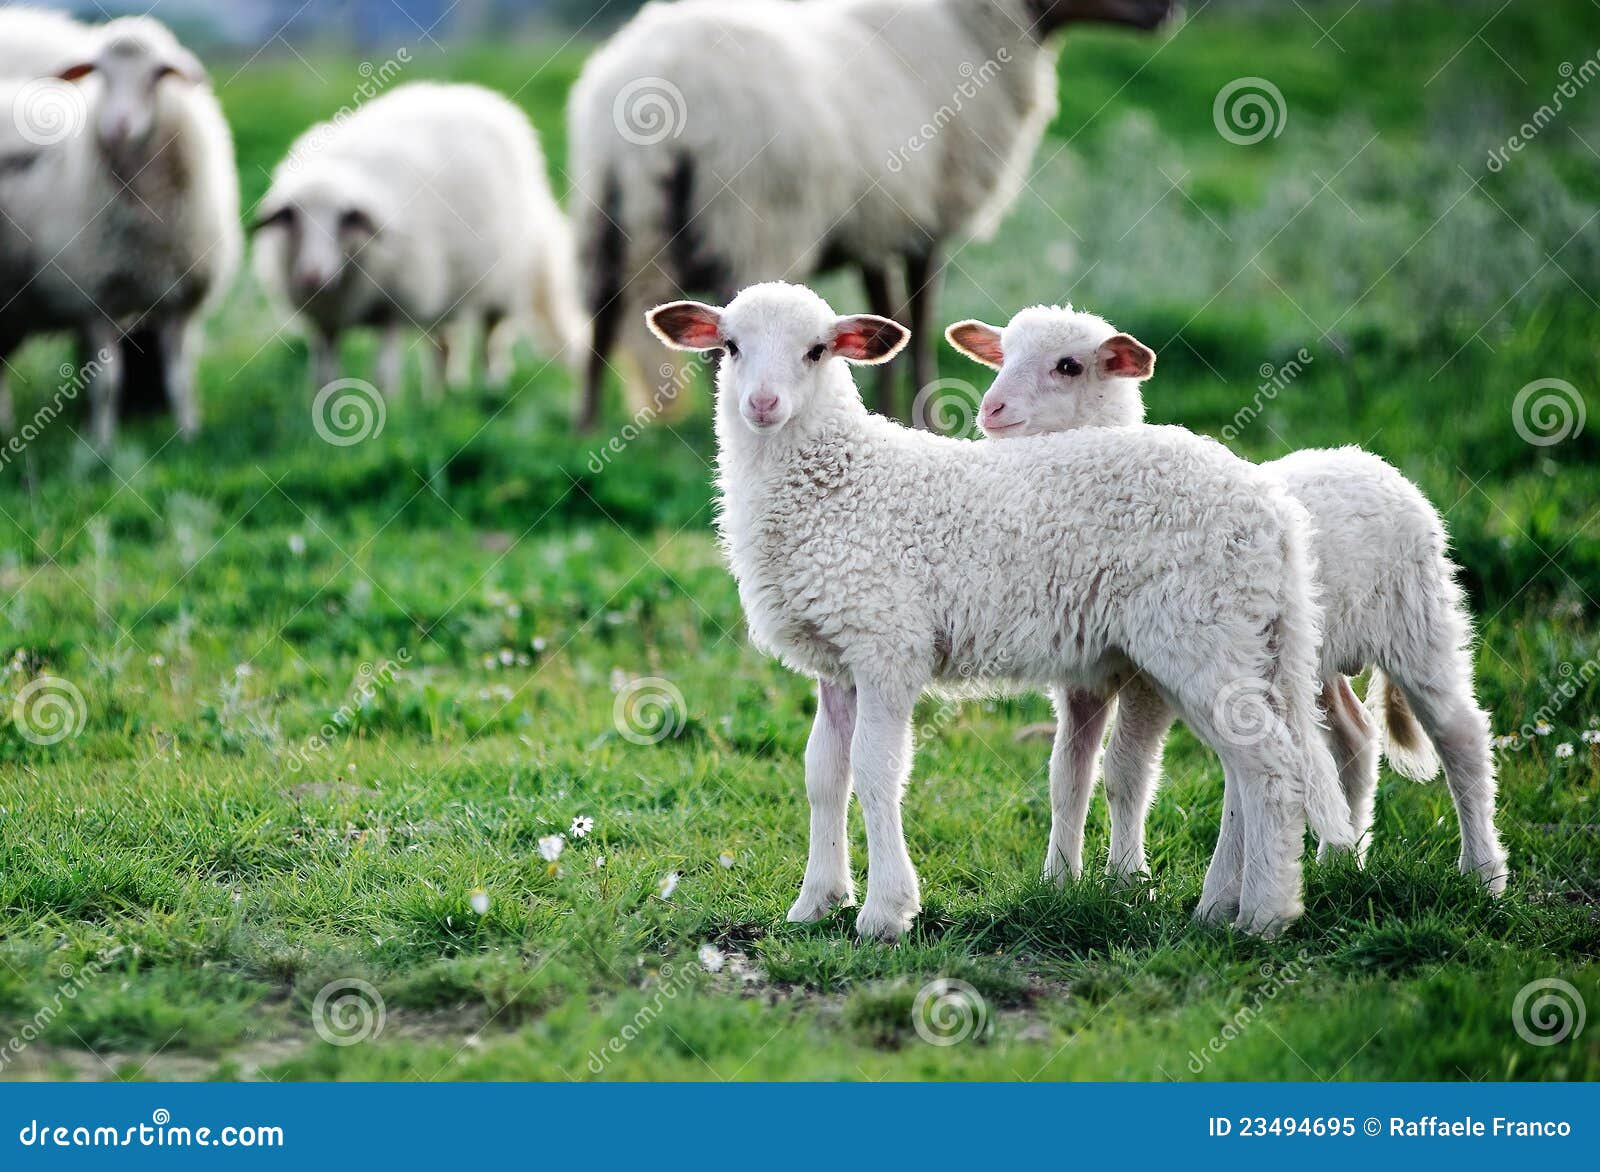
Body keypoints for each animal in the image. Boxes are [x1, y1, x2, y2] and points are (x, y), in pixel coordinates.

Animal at [1, 14, 240, 448]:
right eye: (101, 74)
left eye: (158, 74)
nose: (117, 126)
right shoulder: (95, 302)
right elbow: (107, 384)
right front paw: (102, 444)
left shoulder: (178, 301)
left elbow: (179, 379)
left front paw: (188, 434)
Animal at [252, 82, 585, 401]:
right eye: (292, 218)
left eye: (347, 218)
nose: (312, 275)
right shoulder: (325, 322)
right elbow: (325, 377)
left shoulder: (393, 304)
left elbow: (384, 372)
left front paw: (388, 407)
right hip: (448, 288)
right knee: (445, 346)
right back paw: (439, 397)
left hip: (503, 283)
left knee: (490, 343)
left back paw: (492, 388)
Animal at [568, 0, 1174, 432]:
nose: (1165, 11)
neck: (970, 30)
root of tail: (661, 76)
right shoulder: (922, 218)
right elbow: (921, 317)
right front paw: (927, 417)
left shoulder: (877, 221)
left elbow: (884, 313)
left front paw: (891, 410)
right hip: (754, 217)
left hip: (603, 210)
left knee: (603, 315)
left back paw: (586, 429)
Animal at [646, 281, 1354, 940]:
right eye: (729, 347)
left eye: (816, 351)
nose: (762, 404)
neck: (837, 483)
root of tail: (1274, 512)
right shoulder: (836, 656)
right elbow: (825, 773)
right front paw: (815, 902)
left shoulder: (888, 646)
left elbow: (876, 771)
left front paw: (884, 912)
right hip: (1233, 640)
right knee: (1250, 767)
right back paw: (1224, 907)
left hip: (1202, 632)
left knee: (1270, 769)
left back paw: (1264, 914)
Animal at [948, 306, 1509, 894]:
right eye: (1002, 356)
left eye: (1068, 366)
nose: (991, 410)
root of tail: (1372, 461)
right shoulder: (1082, 678)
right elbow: (1068, 775)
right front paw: (1059, 882)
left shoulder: (1147, 680)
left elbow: (1125, 770)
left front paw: (1126, 880)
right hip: (1310, 659)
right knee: (1353, 739)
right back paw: (1341, 861)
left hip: (1416, 621)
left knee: (1461, 735)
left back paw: (1482, 873)